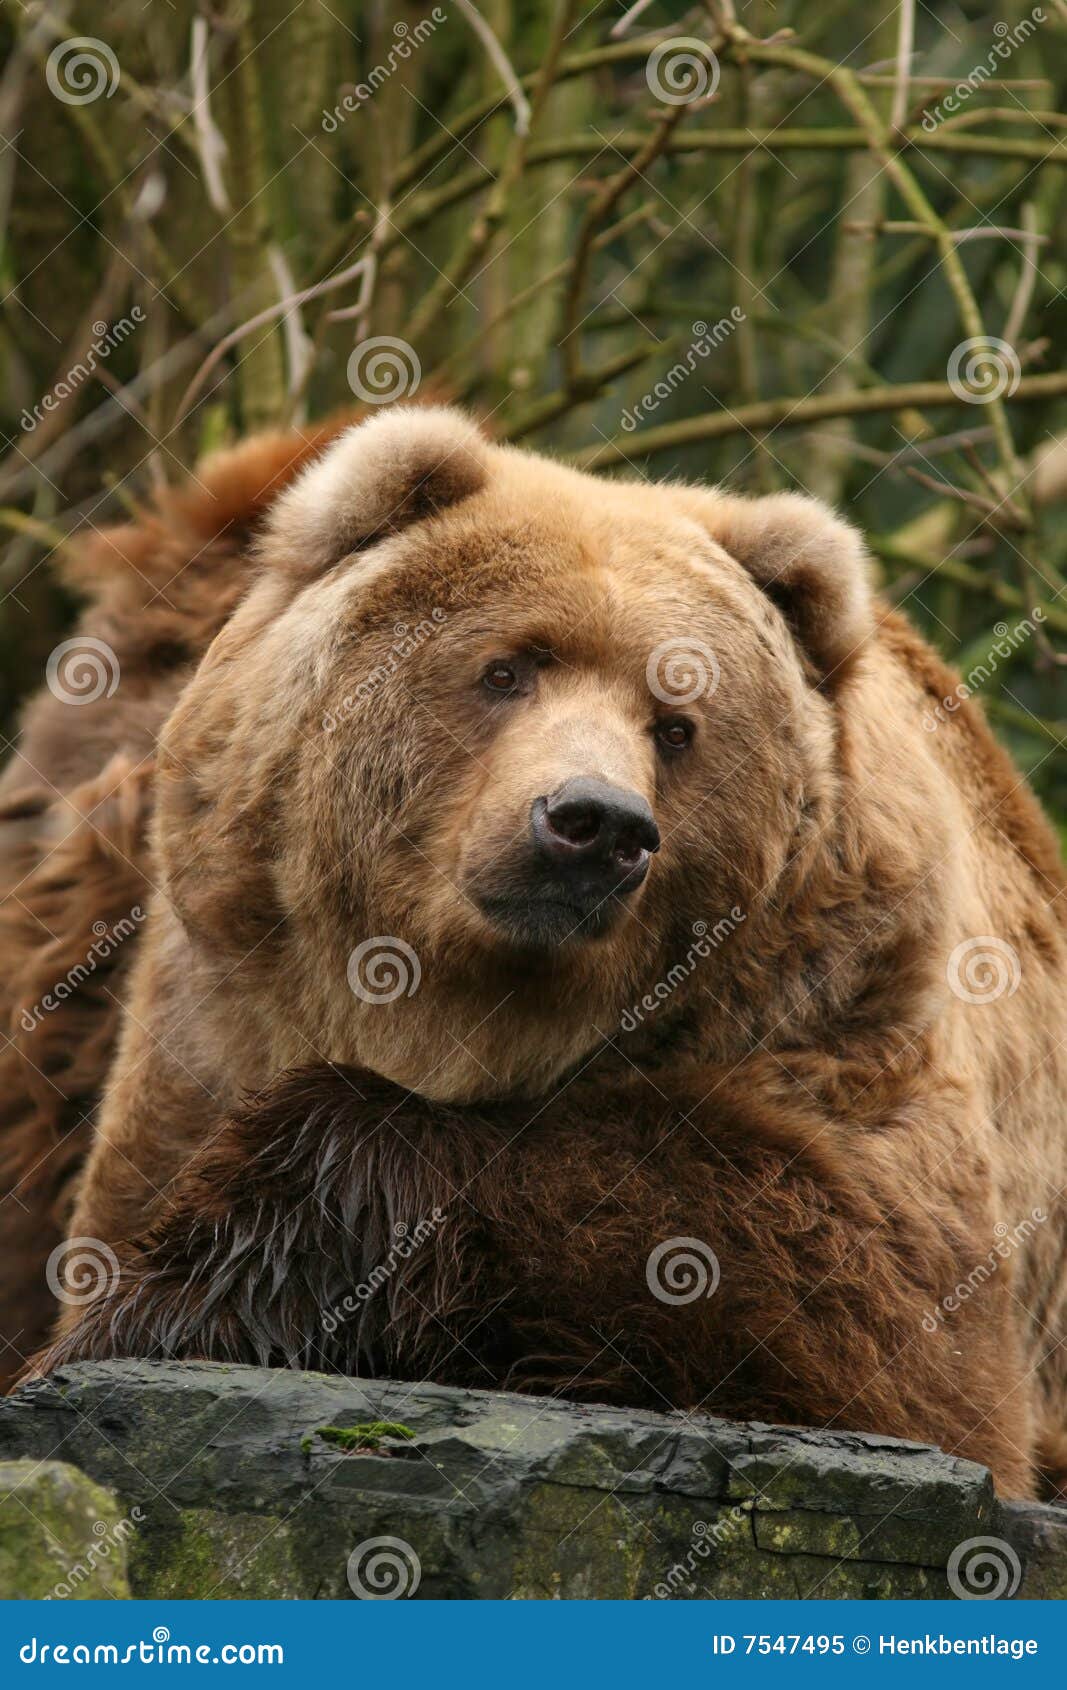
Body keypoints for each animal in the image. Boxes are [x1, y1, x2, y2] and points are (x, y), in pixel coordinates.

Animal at [2, 404, 1065, 1503]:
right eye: (506, 667)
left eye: (676, 724)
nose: (593, 823)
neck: (465, 1016)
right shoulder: (212, 1024)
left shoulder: (842, 1011)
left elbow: (861, 1315)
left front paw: (192, 1293)